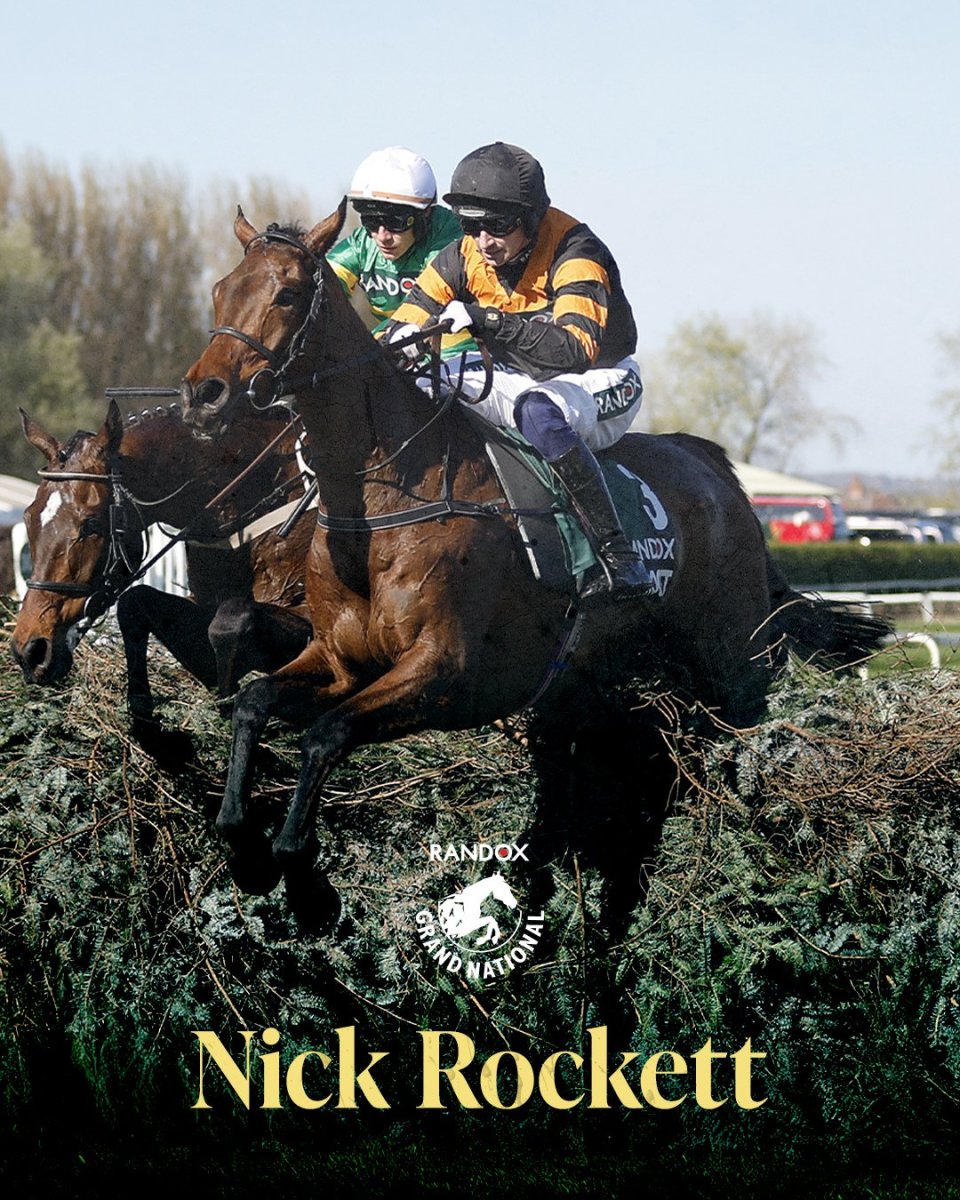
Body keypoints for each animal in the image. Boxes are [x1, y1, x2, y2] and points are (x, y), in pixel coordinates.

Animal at [178, 204, 889, 925]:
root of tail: (718, 469)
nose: (204, 394)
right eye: (220, 290)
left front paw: (303, 875)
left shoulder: (448, 674)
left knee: (754, 724)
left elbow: (326, 734)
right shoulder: (341, 659)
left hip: (735, 660)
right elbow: (254, 701)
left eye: (288, 294)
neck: (382, 499)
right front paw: (244, 846)